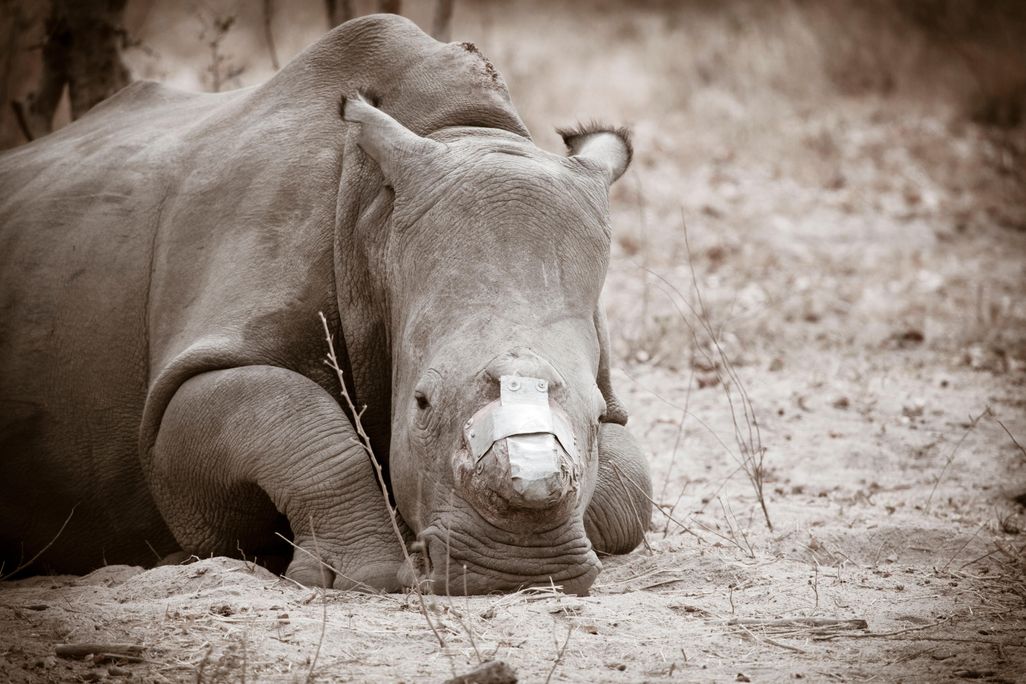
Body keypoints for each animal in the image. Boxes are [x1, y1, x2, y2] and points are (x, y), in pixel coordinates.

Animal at [0, 14, 651, 594]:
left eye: (598, 415)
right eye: (420, 404)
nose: (518, 568)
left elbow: (631, 487)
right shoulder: (188, 383)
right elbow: (288, 417)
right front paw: (358, 576)